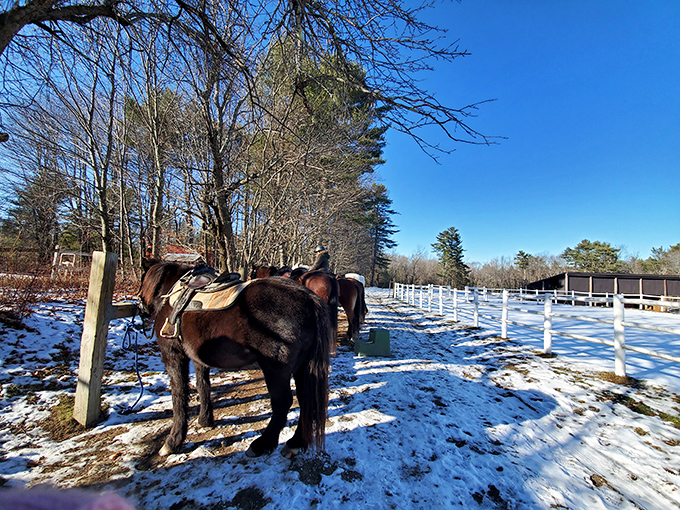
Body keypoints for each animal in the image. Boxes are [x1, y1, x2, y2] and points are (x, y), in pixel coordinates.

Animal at [138, 259, 331, 459]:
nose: (141, 309)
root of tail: (309, 300)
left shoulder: (173, 355)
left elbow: (179, 395)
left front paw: (173, 441)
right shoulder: (198, 359)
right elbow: (203, 386)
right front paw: (205, 419)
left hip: (276, 369)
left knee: (283, 403)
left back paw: (261, 444)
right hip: (302, 368)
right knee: (306, 400)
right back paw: (295, 443)